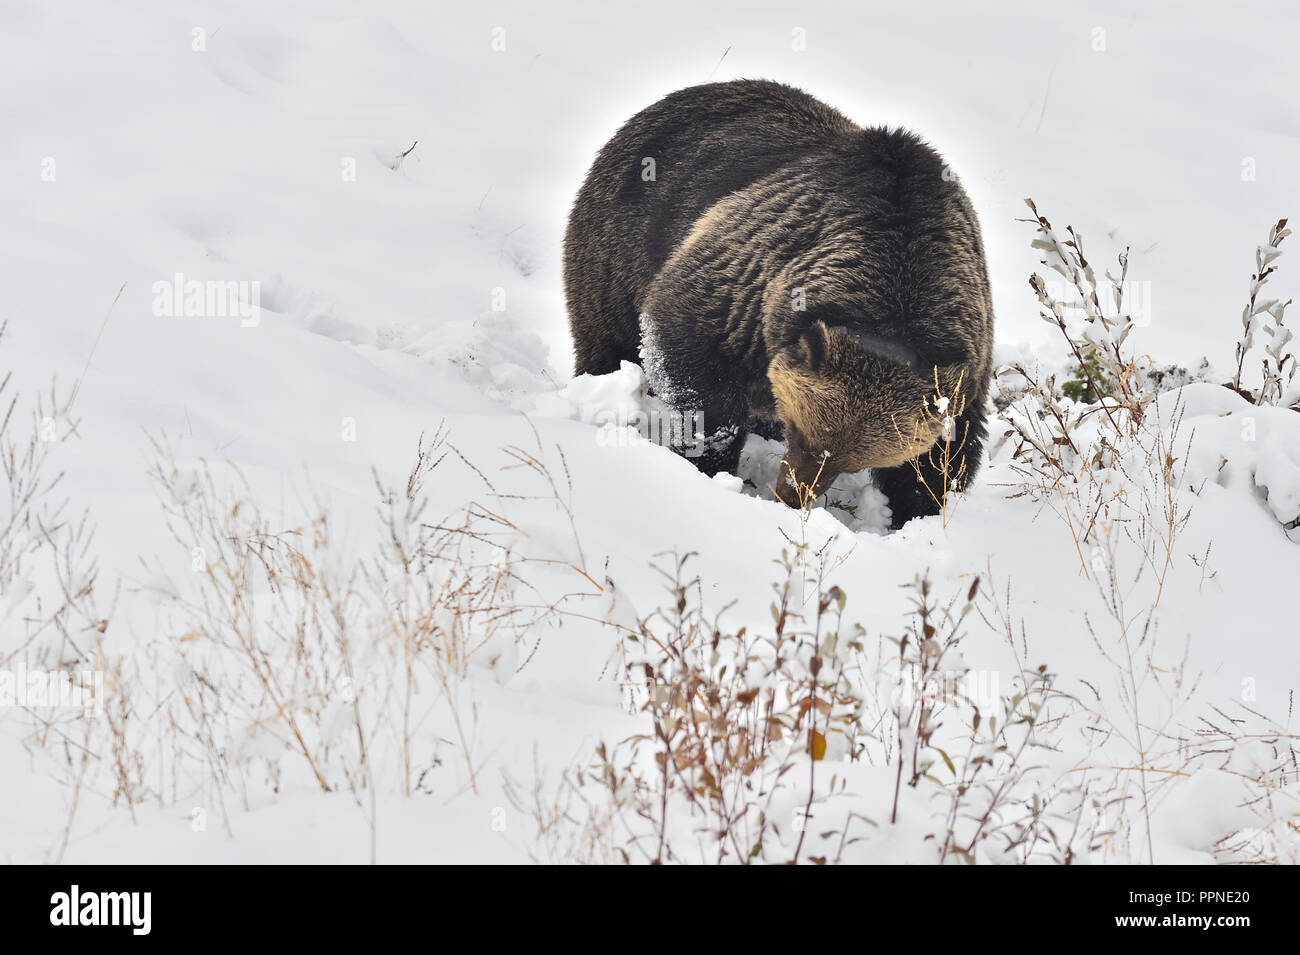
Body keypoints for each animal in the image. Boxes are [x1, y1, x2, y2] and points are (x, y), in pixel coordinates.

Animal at [563, 79, 994, 528]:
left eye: (851, 461)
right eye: (801, 434)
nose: (792, 495)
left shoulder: (960, 370)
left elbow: (943, 456)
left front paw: (921, 512)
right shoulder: (745, 286)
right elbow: (696, 366)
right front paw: (707, 464)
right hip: (614, 259)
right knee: (607, 342)